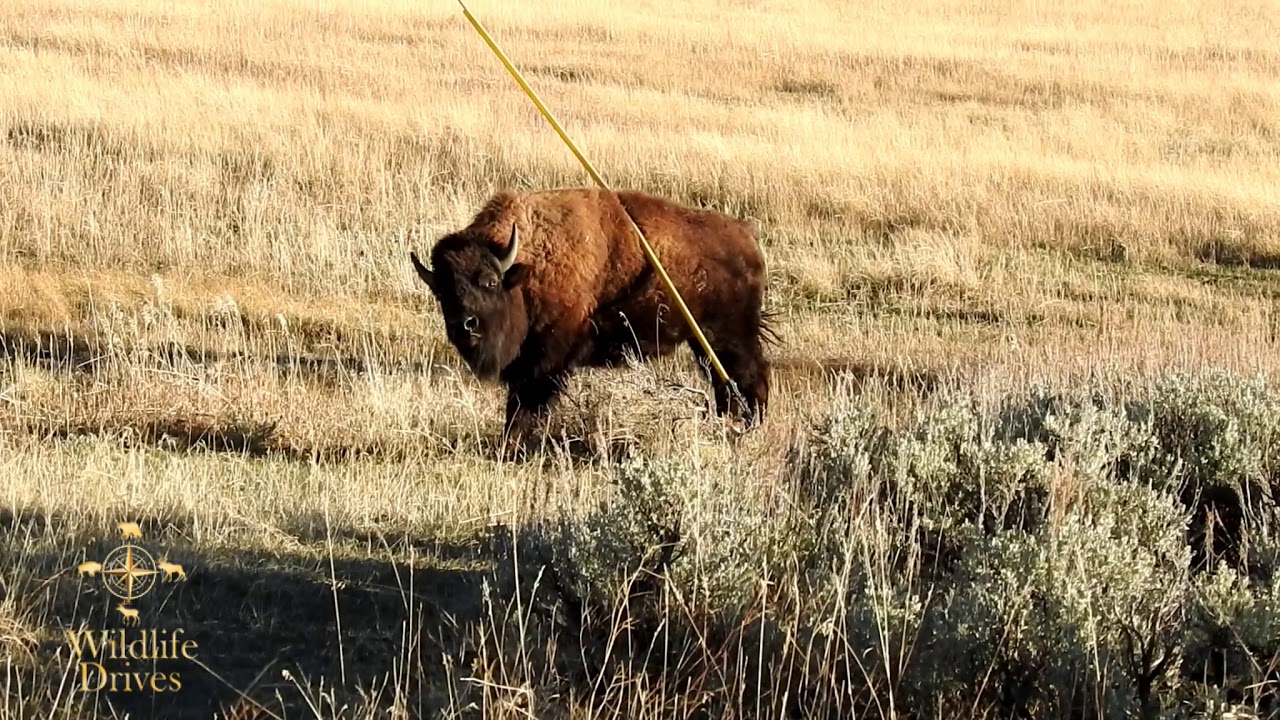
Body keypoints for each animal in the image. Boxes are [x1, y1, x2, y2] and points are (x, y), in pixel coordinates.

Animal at [409, 187, 775, 452]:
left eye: (488, 282)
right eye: (442, 292)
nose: (465, 325)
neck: (527, 269)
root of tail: (747, 237)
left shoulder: (544, 363)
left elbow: (526, 402)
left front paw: (510, 446)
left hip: (727, 337)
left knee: (749, 376)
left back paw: (747, 426)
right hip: (703, 342)